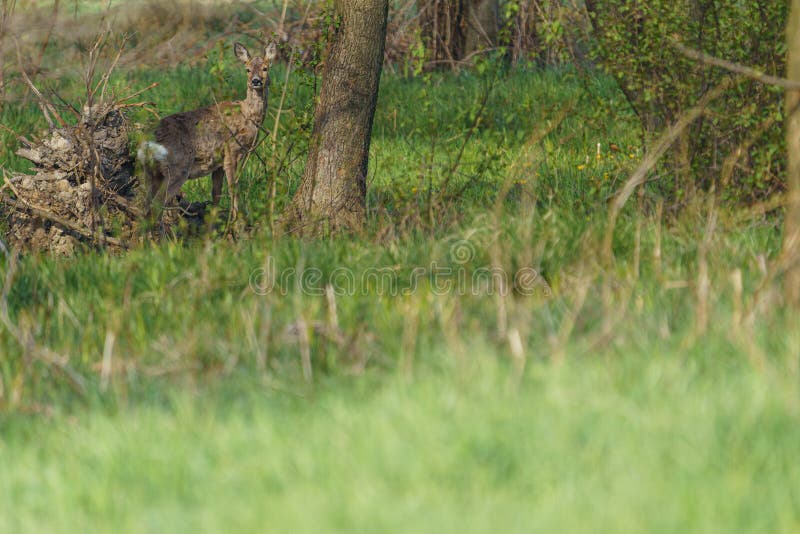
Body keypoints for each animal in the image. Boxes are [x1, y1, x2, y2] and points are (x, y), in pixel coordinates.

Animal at [138, 41, 277, 223]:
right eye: (247, 69)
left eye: (265, 68)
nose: (256, 81)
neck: (248, 116)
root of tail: (148, 142)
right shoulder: (232, 151)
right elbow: (233, 188)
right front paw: (236, 222)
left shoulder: (218, 163)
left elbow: (216, 194)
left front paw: (215, 222)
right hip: (177, 167)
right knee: (156, 205)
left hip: (151, 173)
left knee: (146, 207)